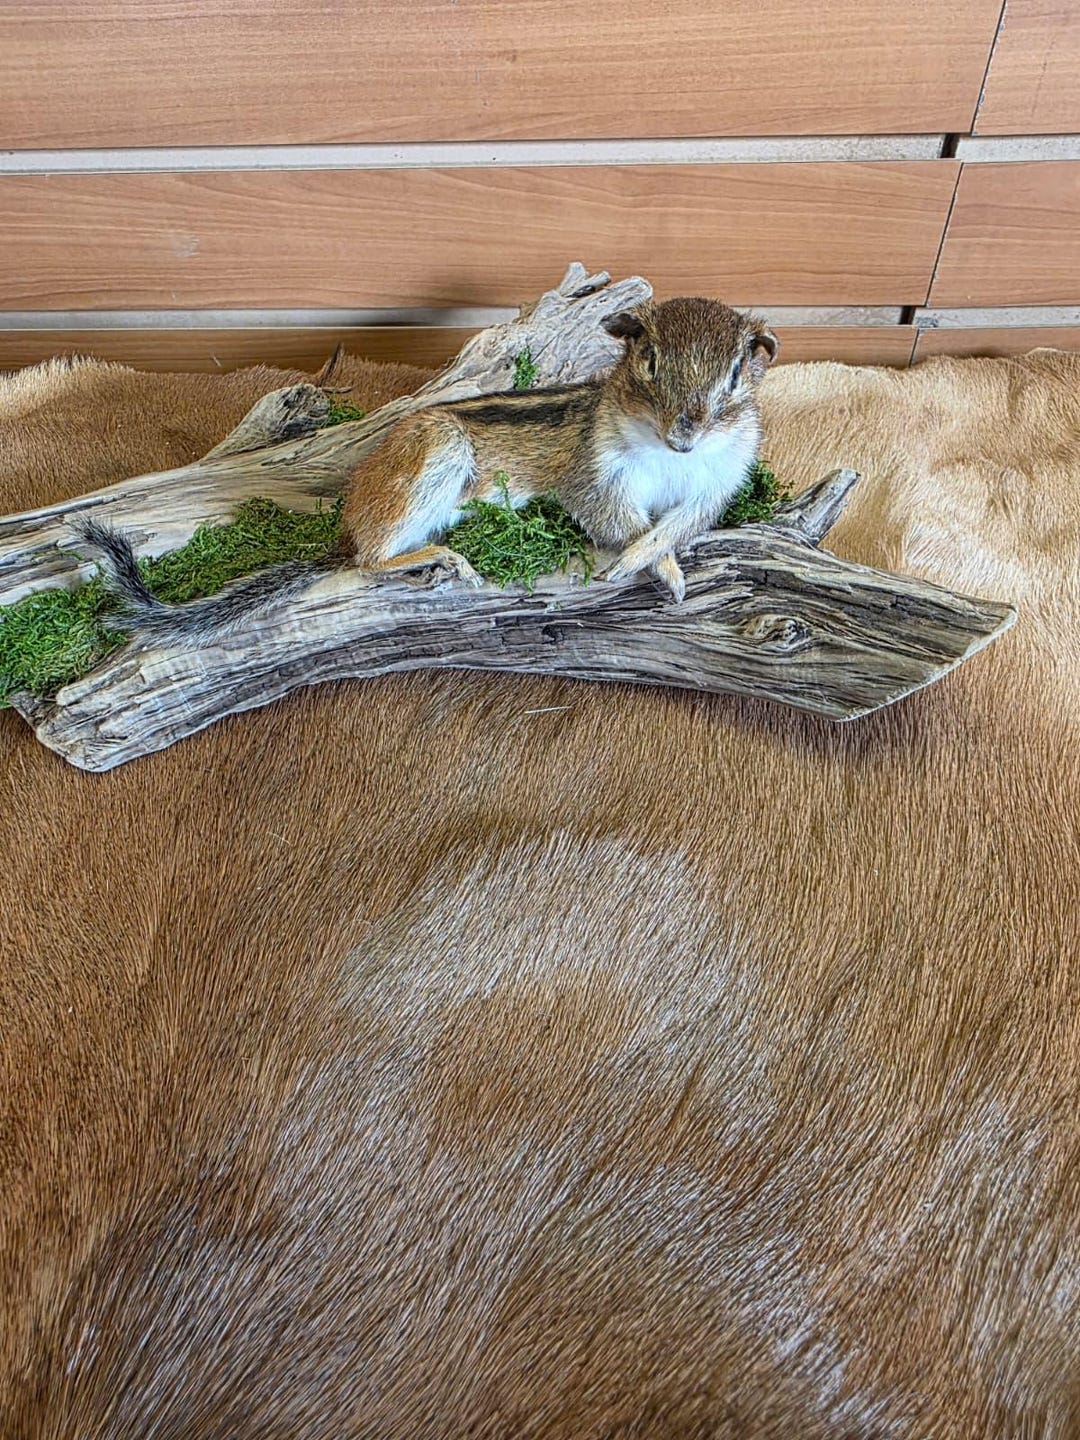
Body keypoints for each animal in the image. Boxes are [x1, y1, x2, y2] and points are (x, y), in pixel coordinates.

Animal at [75, 297, 778, 645]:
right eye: (648, 361)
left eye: (735, 374)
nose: (683, 434)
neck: (672, 458)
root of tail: (344, 531)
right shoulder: (599, 474)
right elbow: (620, 522)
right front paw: (641, 563)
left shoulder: (716, 488)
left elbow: (676, 527)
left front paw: (667, 566)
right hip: (434, 456)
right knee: (369, 561)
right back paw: (441, 556)